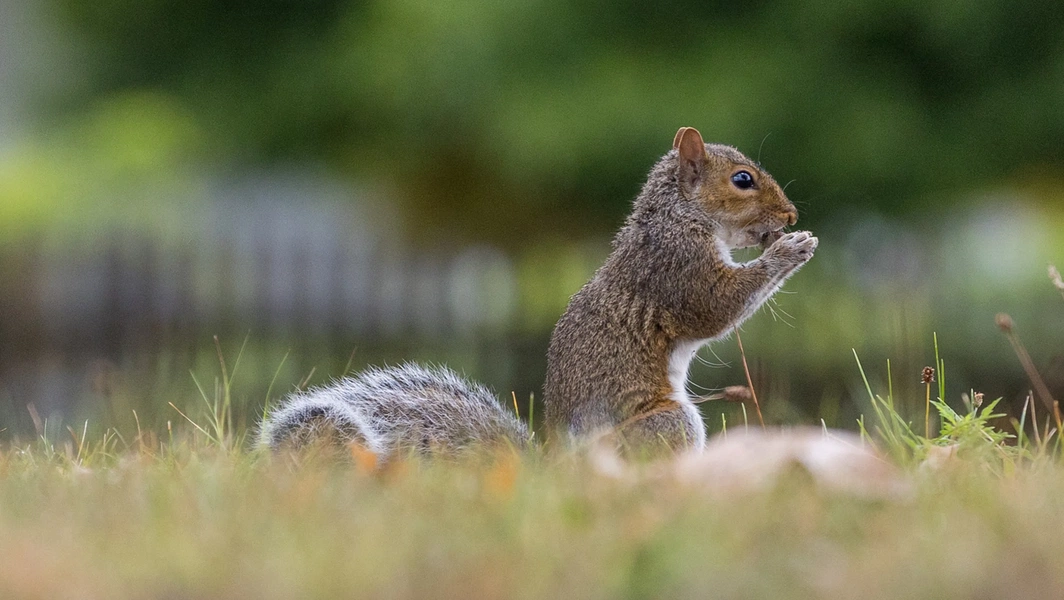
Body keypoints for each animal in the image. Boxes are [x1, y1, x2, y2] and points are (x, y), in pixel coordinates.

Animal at [258, 127, 816, 461]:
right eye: (742, 180)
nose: (790, 216)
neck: (678, 216)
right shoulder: (675, 269)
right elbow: (714, 308)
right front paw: (790, 252)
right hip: (667, 424)